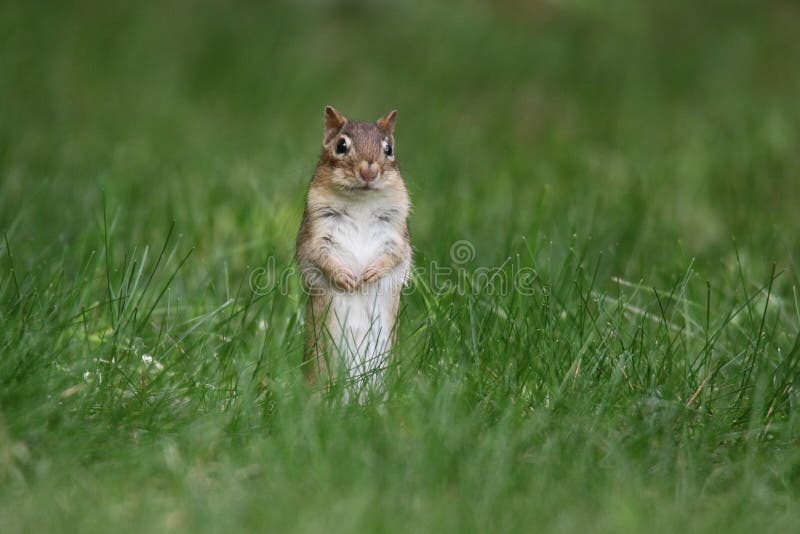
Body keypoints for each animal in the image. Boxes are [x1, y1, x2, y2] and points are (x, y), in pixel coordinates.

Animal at [296, 106, 412, 392]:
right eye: (341, 145)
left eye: (389, 149)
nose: (369, 171)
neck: (361, 202)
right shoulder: (316, 234)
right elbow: (319, 255)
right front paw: (345, 278)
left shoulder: (397, 235)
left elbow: (396, 255)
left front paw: (371, 273)